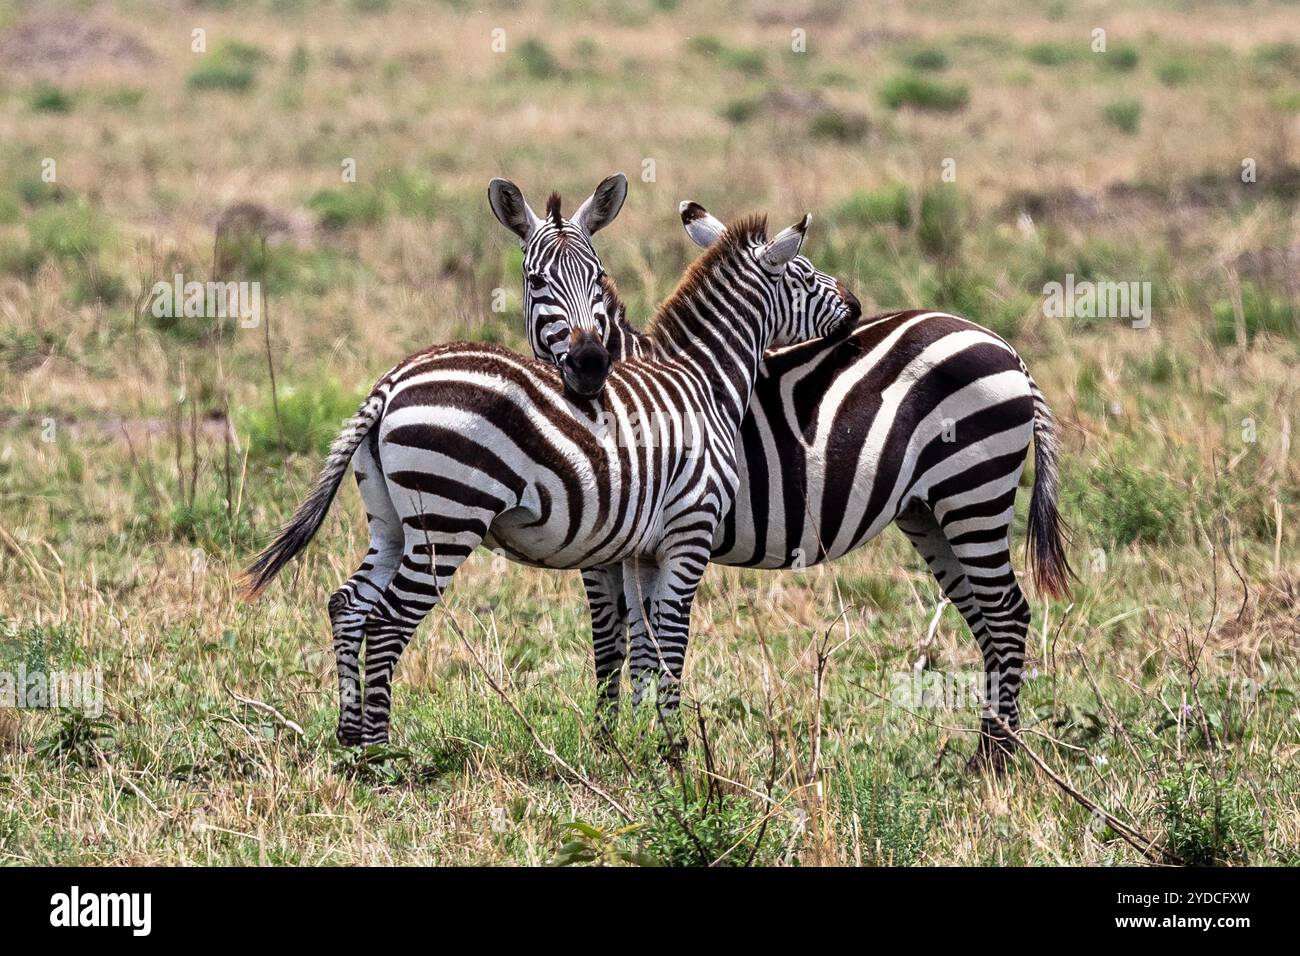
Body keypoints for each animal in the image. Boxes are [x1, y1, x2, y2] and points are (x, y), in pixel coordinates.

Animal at [241, 210, 858, 748]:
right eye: (806, 274)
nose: (854, 306)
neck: (703, 380)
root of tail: (391, 383)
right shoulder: (690, 532)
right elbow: (672, 640)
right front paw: (676, 747)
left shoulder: (644, 547)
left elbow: (644, 641)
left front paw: (641, 743)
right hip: (447, 521)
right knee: (388, 621)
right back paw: (379, 752)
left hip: (392, 522)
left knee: (348, 604)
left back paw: (350, 739)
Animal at [513, 199, 1073, 770]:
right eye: (536, 282)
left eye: (597, 280)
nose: (586, 368)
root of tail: (1002, 344)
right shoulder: (619, 545)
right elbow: (615, 643)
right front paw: (615, 745)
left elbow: (635, 641)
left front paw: (641, 748)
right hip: (930, 512)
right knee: (986, 618)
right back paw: (991, 750)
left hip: (973, 491)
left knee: (1007, 614)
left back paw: (995, 760)